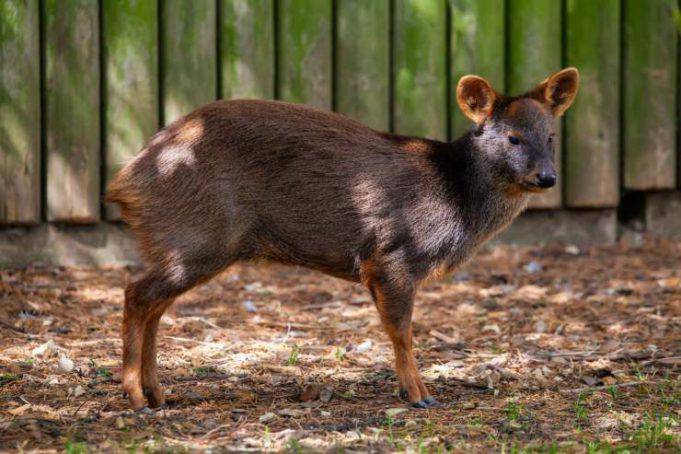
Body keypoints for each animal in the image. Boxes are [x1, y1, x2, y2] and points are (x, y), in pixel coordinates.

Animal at [107, 68, 579, 411]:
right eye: (513, 137)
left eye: (551, 136)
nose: (547, 177)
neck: (453, 196)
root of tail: (125, 179)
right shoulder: (393, 254)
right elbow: (402, 330)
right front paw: (420, 395)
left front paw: (409, 390)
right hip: (199, 235)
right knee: (137, 294)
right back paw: (135, 396)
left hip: (182, 241)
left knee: (154, 304)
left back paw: (158, 393)